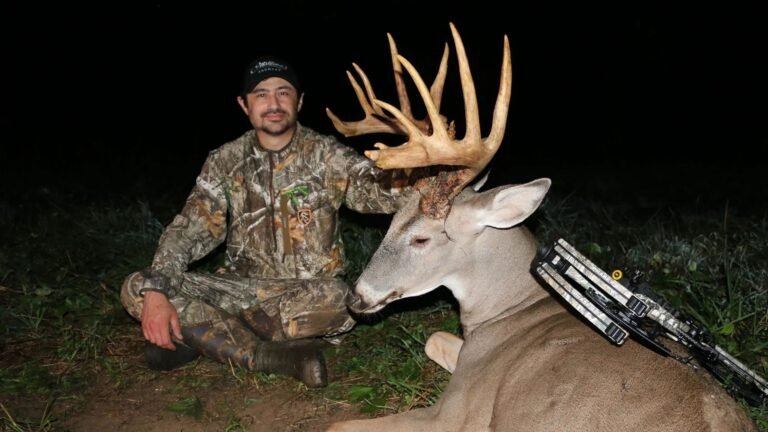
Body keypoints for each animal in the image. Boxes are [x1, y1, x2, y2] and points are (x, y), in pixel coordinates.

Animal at [324, 23, 758, 432]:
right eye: (390, 222)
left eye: (421, 238)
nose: (355, 297)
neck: (504, 310)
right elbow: (434, 339)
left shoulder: (456, 413)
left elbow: (336, 423)